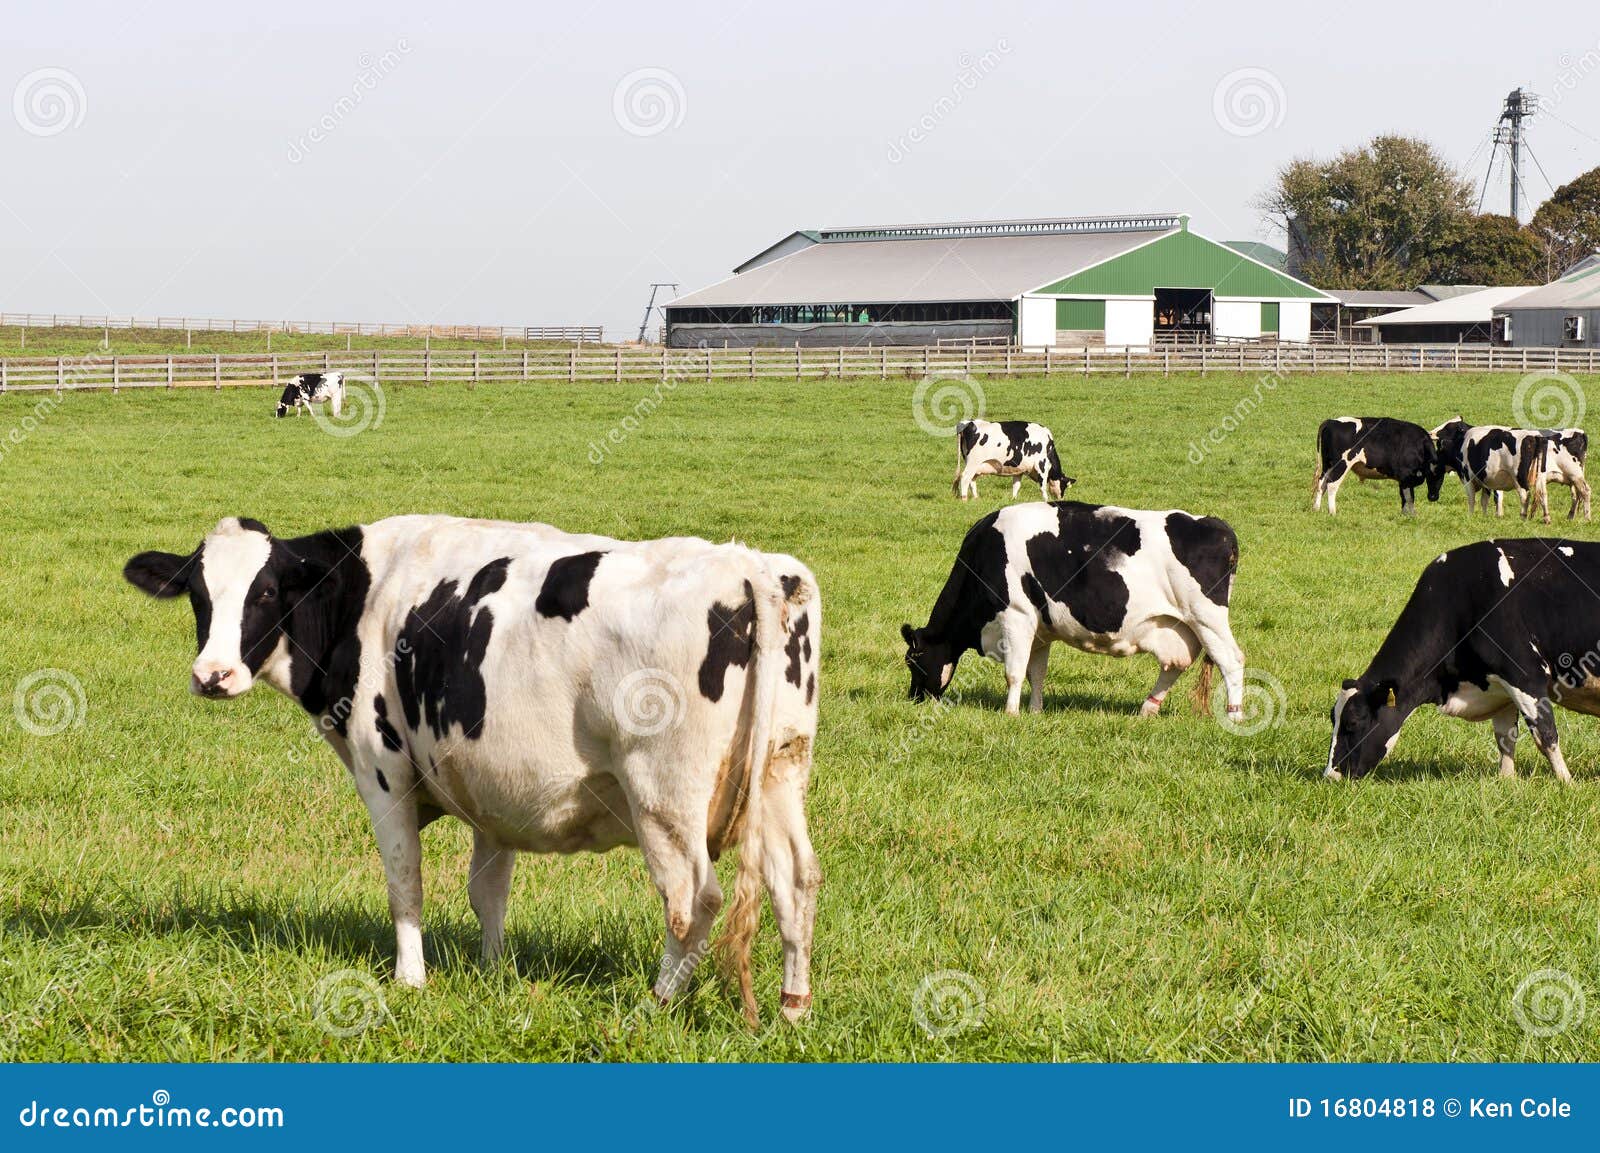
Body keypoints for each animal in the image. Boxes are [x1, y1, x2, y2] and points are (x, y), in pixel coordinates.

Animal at [123, 515, 822, 1025]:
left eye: (265, 592)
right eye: (197, 595)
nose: (212, 675)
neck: (364, 596)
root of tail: (746, 565)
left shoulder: (383, 770)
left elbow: (405, 882)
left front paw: (410, 980)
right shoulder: (494, 786)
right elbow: (487, 890)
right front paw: (493, 973)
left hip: (663, 793)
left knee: (692, 900)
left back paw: (655, 1004)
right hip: (780, 773)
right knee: (796, 883)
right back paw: (793, 1008)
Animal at [901, 501, 1245, 719]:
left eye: (912, 661)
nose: (913, 699)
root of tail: (1216, 525)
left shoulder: (1016, 616)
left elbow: (1014, 672)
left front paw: (1011, 713)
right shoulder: (1041, 629)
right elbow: (1035, 673)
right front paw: (1035, 711)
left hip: (1206, 617)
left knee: (1232, 660)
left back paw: (1235, 716)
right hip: (1178, 626)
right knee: (1175, 665)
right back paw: (1147, 709)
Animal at [1312, 416, 1444, 516]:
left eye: (1441, 477)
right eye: (1434, 475)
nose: (1433, 497)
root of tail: (1331, 421)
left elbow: (1406, 497)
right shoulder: (1405, 476)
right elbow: (1408, 496)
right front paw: (1410, 515)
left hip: (1328, 464)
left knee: (1321, 483)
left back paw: (1316, 508)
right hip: (1341, 464)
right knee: (1332, 485)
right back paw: (1332, 512)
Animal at [1325, 538, 1600, 785]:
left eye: (1353, 722)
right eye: (1332, 718)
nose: (1330, 776)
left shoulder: (1526, 676)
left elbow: (1545, 734)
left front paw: (1567, 783)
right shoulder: (1500, 686)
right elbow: (1505, 738)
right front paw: (1507, 781)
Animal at [1433, 417, 1589, 523]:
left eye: (1447, 428)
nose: (1431, 432)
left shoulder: (1470, 477)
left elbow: (1479, 498)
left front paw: (1476, 516)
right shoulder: (1488, 478)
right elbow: (1488, 498)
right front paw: (1490, 516)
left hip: (1566, 475)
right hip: (1566, 477)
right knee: (1564, 494)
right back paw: (1561, 517)